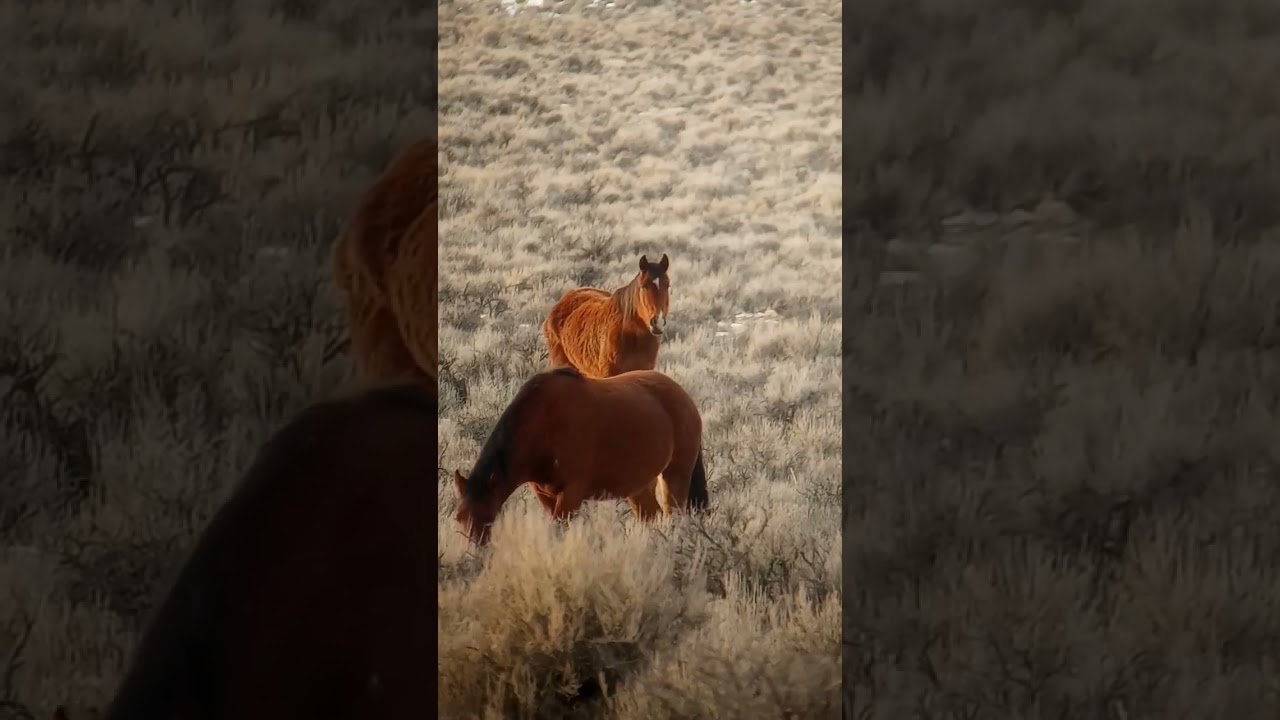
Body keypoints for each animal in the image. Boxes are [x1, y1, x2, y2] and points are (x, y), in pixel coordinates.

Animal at [452, 366, 709, 545]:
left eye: (487, 515)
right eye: (459, 517)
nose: (472, 554)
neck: (544, 424)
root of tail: (684, 396)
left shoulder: (571, 495)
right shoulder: (545, 495)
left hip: (675, 476)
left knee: (673, 515)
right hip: (639, 486)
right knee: (651, 517)